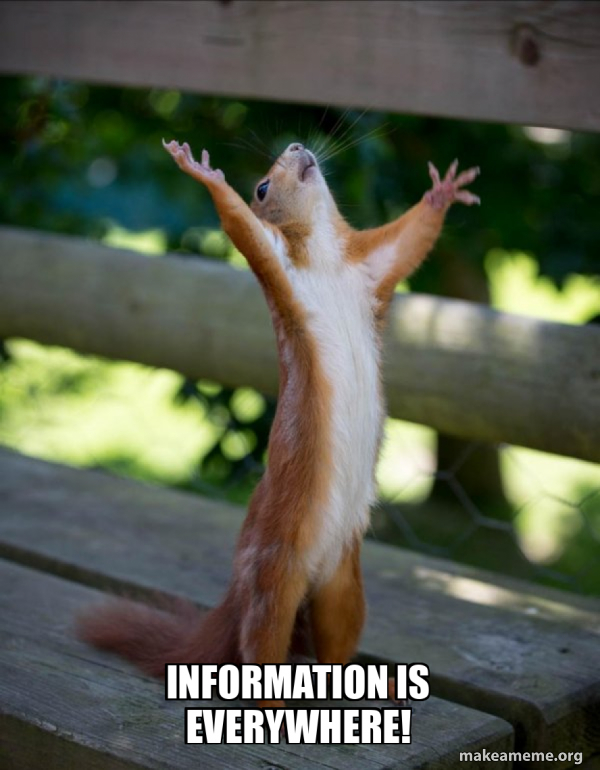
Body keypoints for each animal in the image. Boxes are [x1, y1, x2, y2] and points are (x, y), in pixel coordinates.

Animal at [77, 138, 479, 707]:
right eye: (262, 187)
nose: (296, 146)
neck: (328, 260)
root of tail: (239, 590)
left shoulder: (372, 267)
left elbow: (410, 240)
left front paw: (442, 191)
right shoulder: (277, 265)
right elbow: (240, 226)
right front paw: (203, 173)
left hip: (344, 588)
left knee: (337, 645)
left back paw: (361, 686)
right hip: (273, 579)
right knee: (261, 648)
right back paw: (277, 705)